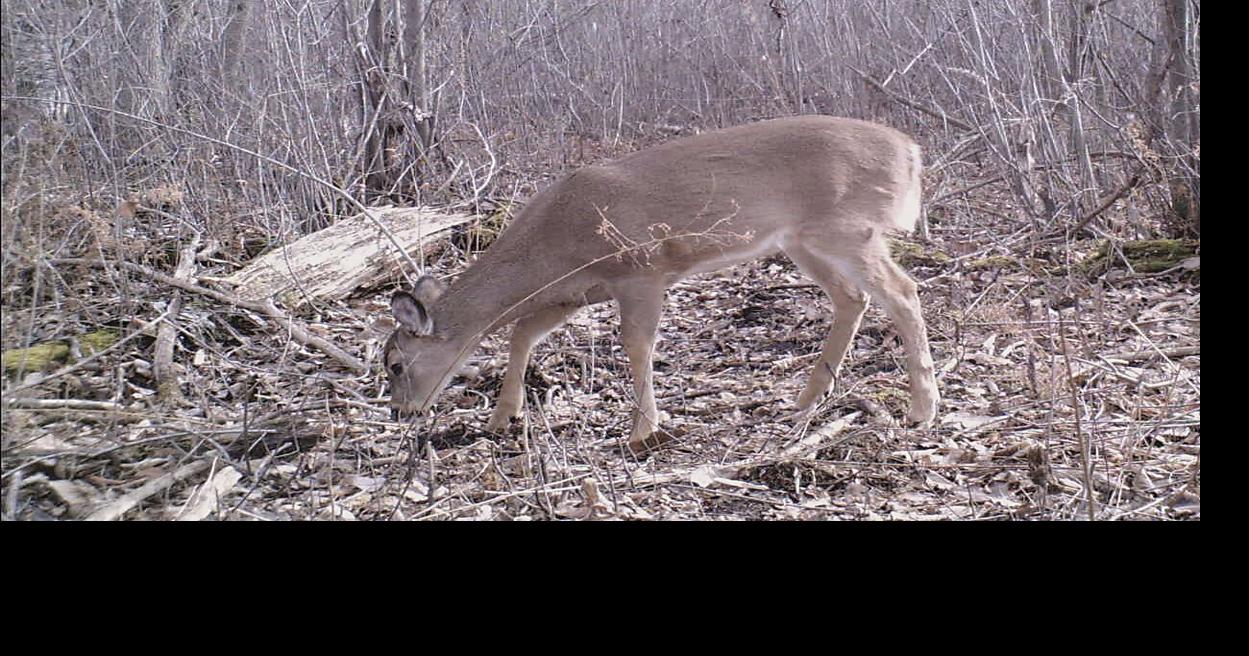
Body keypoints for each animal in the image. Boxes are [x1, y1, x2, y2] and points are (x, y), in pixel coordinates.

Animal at [384, 115, 939, 454]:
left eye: (394, 364)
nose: (399, 412)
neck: (554, 241)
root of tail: (912, 152)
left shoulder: (642, 270)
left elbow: (636, 345)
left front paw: (643, 430)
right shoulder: (578, 290)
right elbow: (522, 331)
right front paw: (503, 416)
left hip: (848, 228)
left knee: (904, 292)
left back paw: (922, 408)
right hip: (803, 241)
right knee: (853, 298)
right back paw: (808, 399)